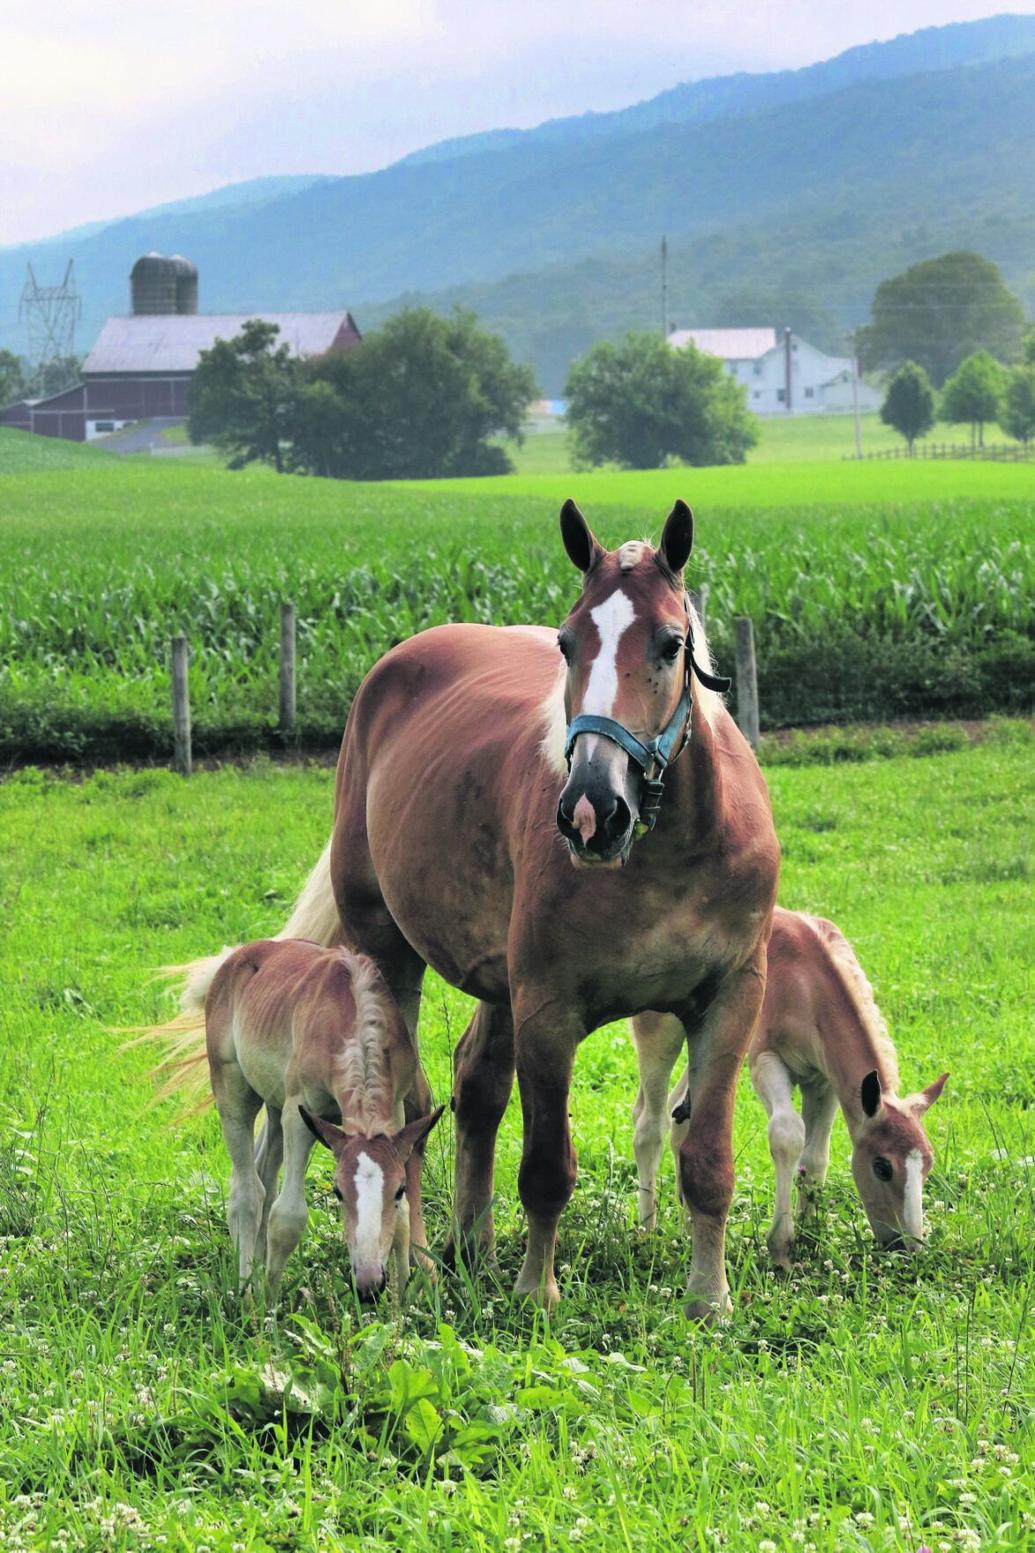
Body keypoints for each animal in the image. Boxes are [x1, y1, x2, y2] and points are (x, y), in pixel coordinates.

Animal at [201, 938, 443, 1297]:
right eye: (338, 1192)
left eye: (399, 1190)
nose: (369, 1285)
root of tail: (236, 956)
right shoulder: (299, 1113)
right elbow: (288, 1217)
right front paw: (268, 1303)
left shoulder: (397, 1112)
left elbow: (402, 1221)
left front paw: (403, 1301)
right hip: (233, 1089)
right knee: (248, 1192)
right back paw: (247, 1288)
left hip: (274, 1103)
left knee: (264, 1178)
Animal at [631, 907, 948, 1267]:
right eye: (882, 1167)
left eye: (928, 1165)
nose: (908, 1248)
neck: (808, 984)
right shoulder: (766, 1060)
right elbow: (787, 1135)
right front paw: (781, 1245)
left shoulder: (823, 1082)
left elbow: (815, 1157)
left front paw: (810, 1232)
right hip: (660, 1029)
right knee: (649, 1124)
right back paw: (647, 1231)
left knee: (678, 1118)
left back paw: (690, 1228)